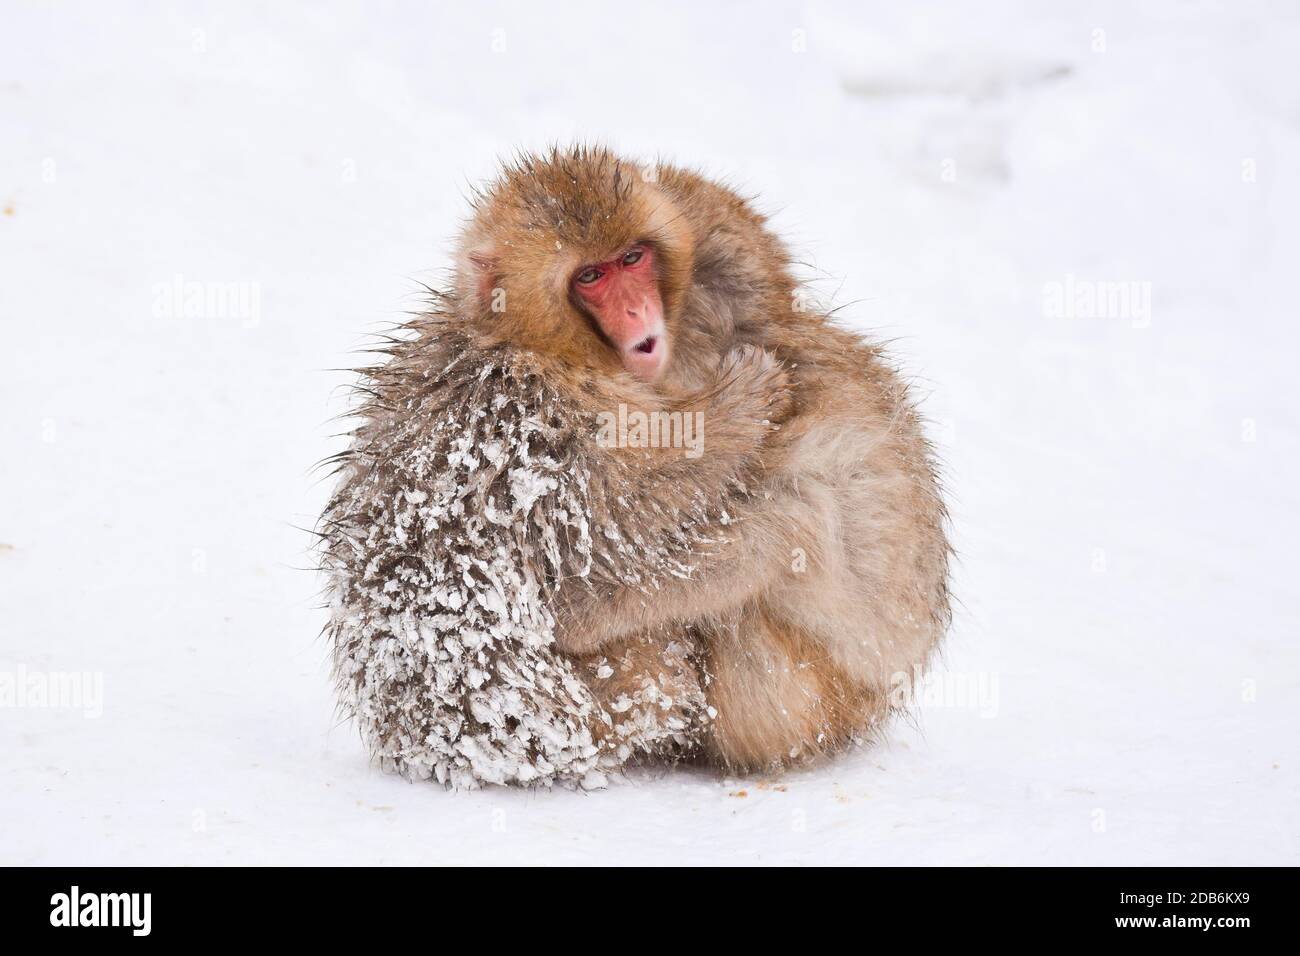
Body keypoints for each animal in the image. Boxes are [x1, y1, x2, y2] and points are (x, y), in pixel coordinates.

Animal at [323, 146, 949, 786]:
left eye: (632, 258)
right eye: (590, 277)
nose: (636, 308)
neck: (539, 346)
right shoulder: (563, 419)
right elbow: (634, 516)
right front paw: (737, 404)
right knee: (781, 528)